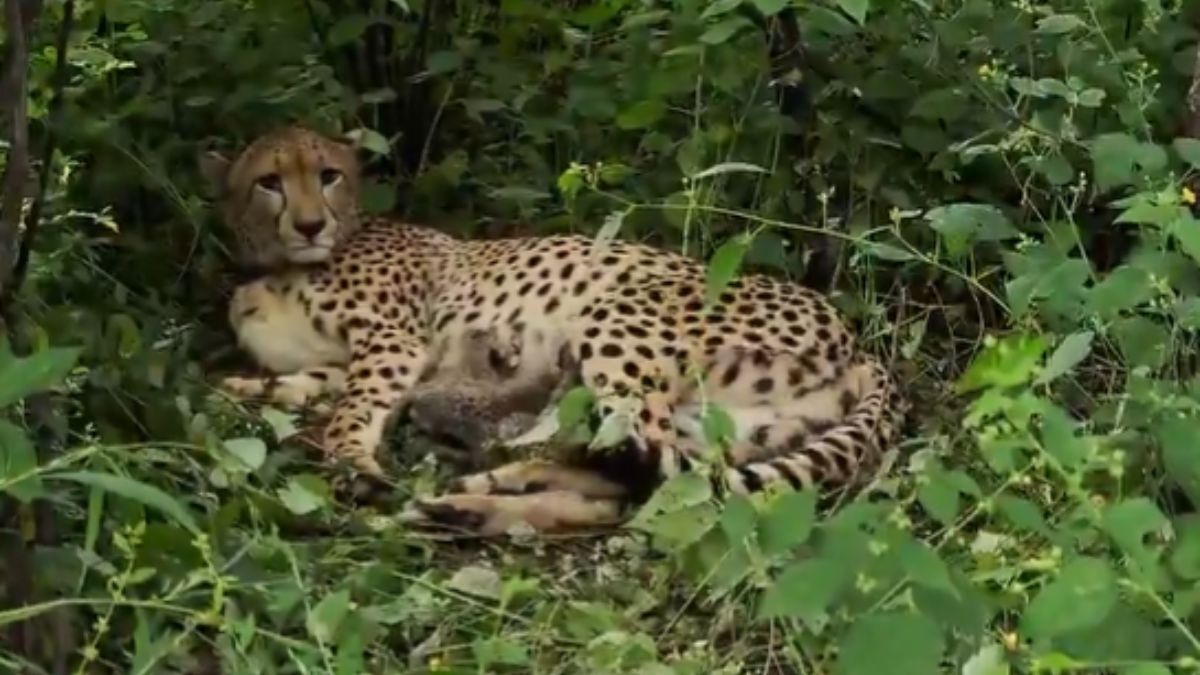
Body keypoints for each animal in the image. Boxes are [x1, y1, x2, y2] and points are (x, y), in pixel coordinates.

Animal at [202, 125, 908, 529]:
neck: (282, 264)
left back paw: (480, 489)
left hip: (616, 325)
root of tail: (861, 345)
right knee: (633, 485)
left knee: (655, 475)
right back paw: (470, 504)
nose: (309, 224)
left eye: (327, 175)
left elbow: (352, 409)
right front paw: (236, 392)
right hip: (719, 421)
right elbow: (296, 384)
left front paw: (351, 461)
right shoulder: (342, 360)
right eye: (269, 182)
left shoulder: (393, 342)